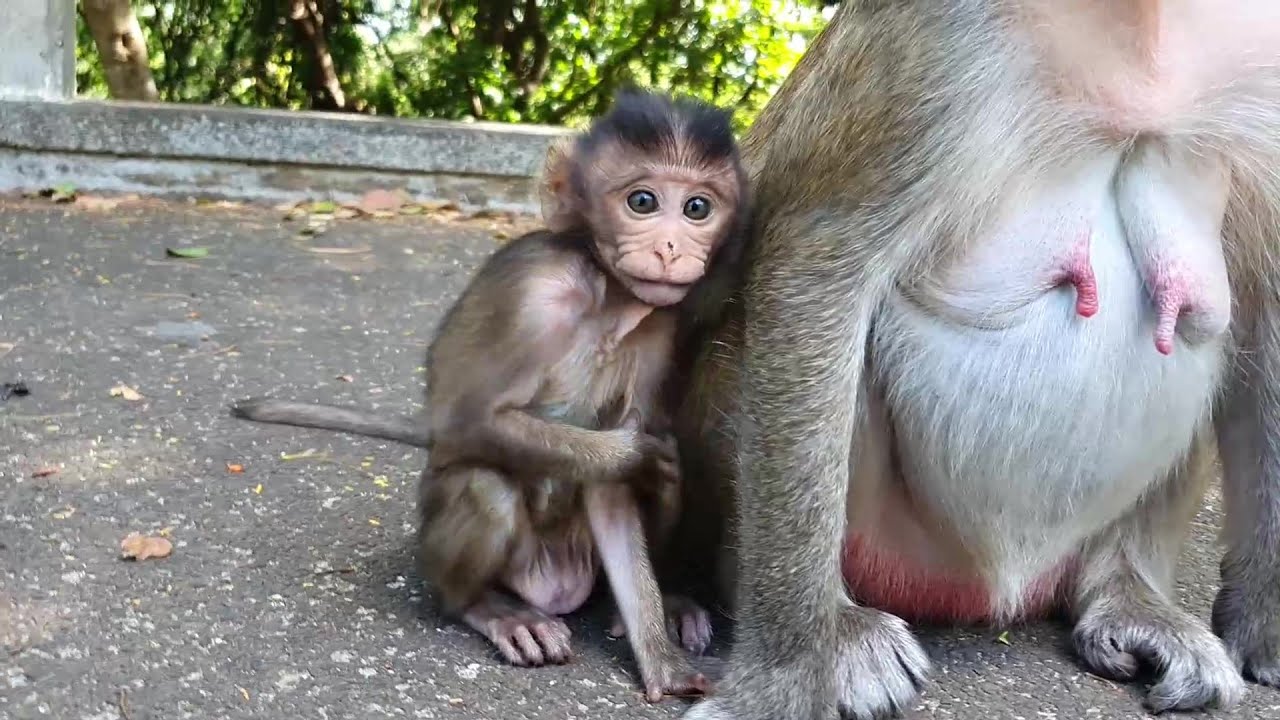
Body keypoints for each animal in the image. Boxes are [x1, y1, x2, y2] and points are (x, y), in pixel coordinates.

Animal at [232, 89, 750, 702]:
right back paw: (488, 608)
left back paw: (663, 602)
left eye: (698, 208)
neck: (606, 297)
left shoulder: (659, 328)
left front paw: (661, 662)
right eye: (642, 201)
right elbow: (466, 422)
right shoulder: (533, 293)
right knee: (485, 488)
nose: (670, 248)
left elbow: (615, 495)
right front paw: (636, 452)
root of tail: (556, 586)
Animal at [668, 2, 1280, 720]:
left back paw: (1125, 590)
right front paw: (789, 674)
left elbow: (1268, 315)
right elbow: (814, 263)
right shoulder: (941, 39)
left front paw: (1266, 622)